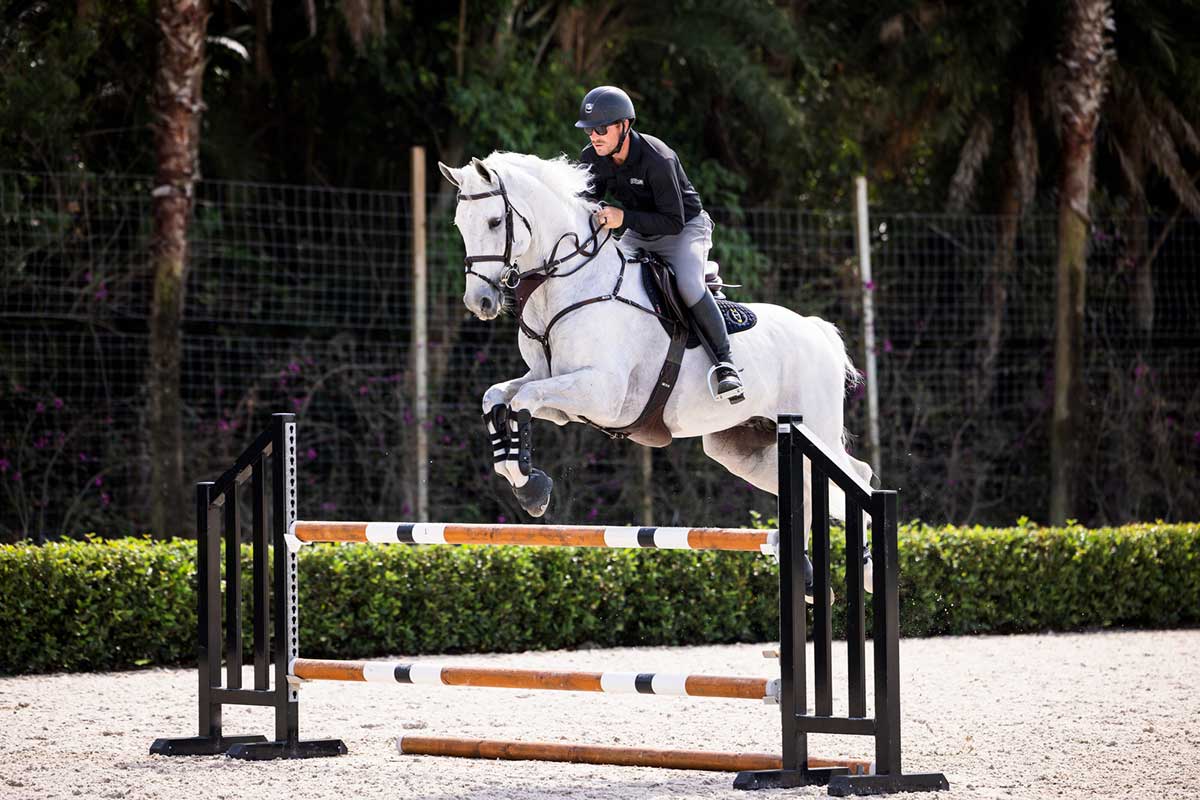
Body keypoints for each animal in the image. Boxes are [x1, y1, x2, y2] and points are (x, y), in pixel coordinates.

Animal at [438, 152, 873, 576]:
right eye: (461, 225)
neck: (572, 283)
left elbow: (522, 400)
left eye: (495, 222)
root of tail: (816, 330)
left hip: (813, 428)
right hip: (740, 448)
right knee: (813, 485)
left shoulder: (604, 394)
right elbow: (498, 398)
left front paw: (532, 487)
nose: (479, 303)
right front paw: (523, 480)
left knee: (855, 476)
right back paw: (805, 570)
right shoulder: (557, 393)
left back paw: (864, 568)